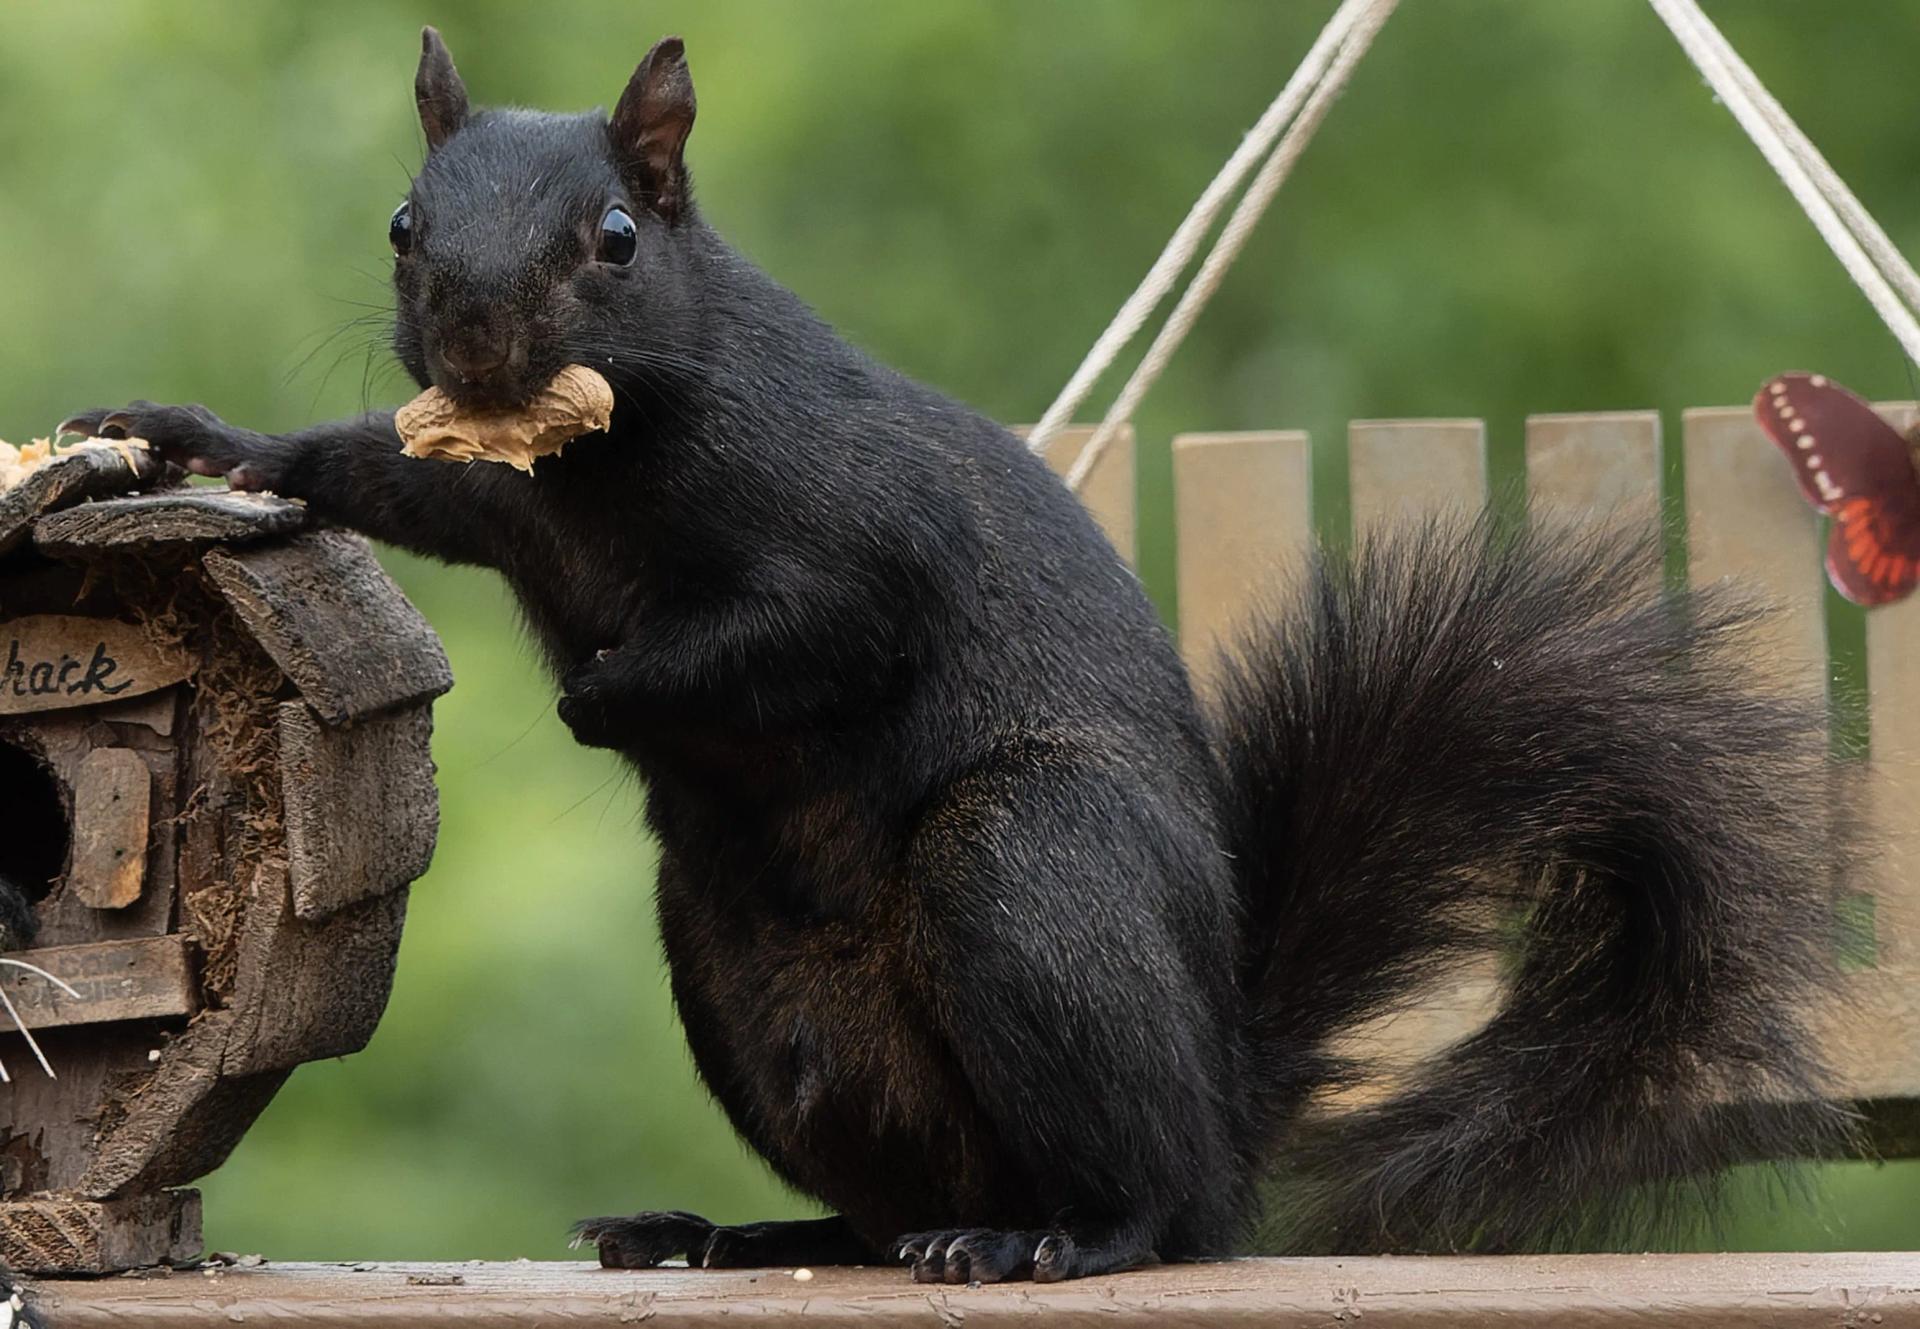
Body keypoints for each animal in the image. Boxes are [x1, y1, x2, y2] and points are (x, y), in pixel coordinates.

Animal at [62, 29, 1858, 1284]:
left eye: (619, 235)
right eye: (402, 223)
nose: (479, 338)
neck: (592, 472)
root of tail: (1225, 1098)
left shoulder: (852, 536)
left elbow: (796, 636)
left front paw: (604, 697)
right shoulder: (488, 493)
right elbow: (376, 472)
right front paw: (184, 437)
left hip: (1028, 870)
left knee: (1148, 1203)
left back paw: (1053, 1236)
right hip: (737, 981)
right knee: (885, 1202)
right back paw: (739, 1233)